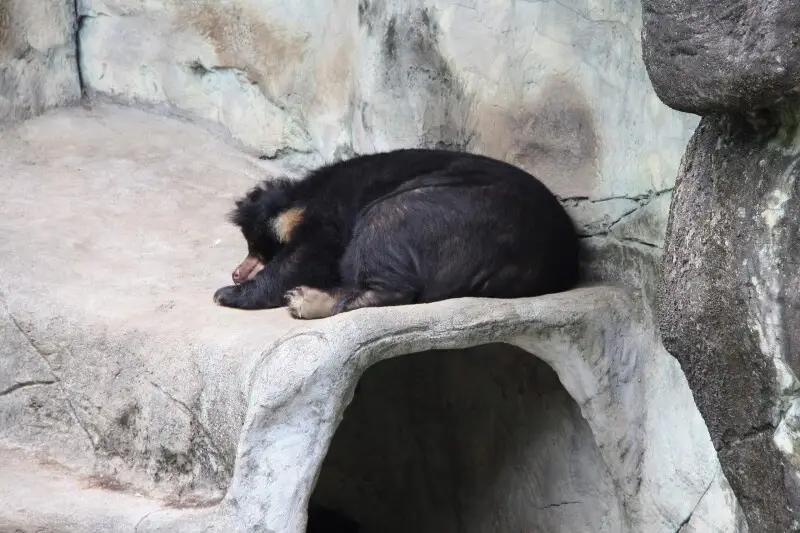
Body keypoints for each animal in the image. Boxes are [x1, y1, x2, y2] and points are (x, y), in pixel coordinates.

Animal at [213, 148, 580, 319]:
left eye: (256, 248)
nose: (236, 273)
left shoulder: (330, 215)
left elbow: (313, 251)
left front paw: (228, 294)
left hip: (432, 212)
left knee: (386, 242)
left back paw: (307, 300)